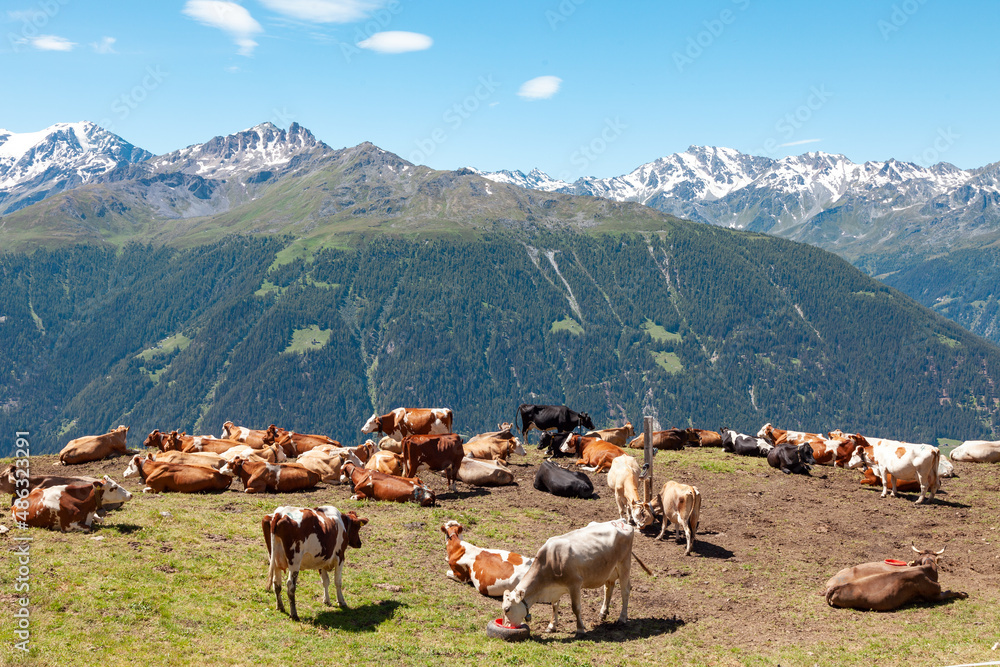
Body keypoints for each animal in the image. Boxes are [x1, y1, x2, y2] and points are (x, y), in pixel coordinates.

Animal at [501, 520, 650, 635]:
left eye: (507, 609)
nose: (506, 626)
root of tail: (621, 521)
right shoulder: (555, 588)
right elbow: (554, 605)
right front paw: (551, 626)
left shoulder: (575, 584)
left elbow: (575, 607)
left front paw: (580, 629)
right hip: (609, 569)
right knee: (608, 588)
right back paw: (603, 612)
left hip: (624, 564)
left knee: (625, 590)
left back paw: (622, 618)